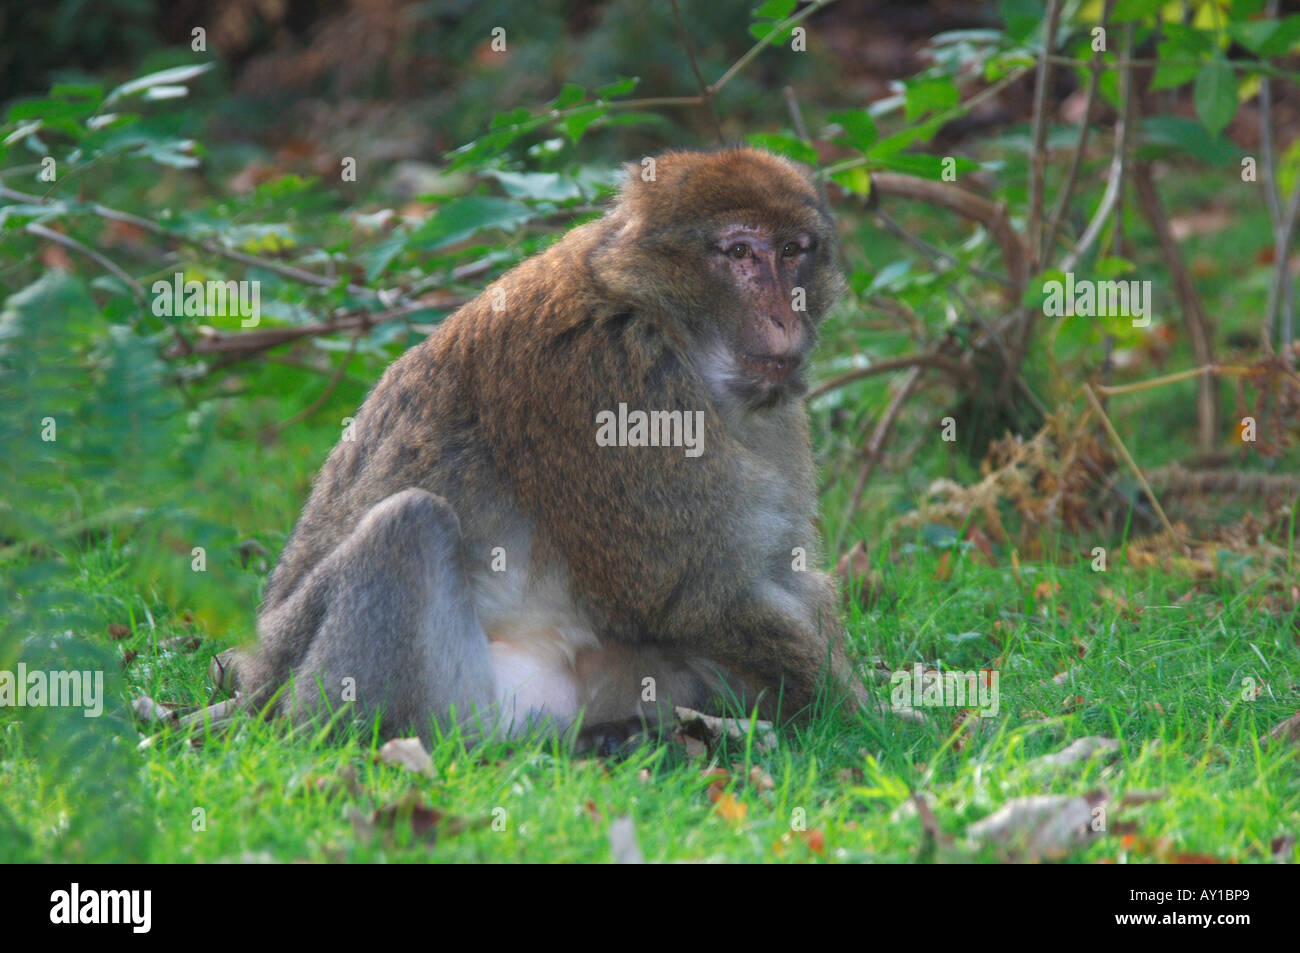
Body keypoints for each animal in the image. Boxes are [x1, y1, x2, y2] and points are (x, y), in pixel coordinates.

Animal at [232, 146, 862, 748]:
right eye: (739, 253)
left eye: (793, 250)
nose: (785, 316)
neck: (656, 314)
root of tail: (256, 688)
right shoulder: (609, 379)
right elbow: (690, 596)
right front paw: (867, 721)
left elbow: (775, 572)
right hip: (322, 685)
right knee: (408, 524)